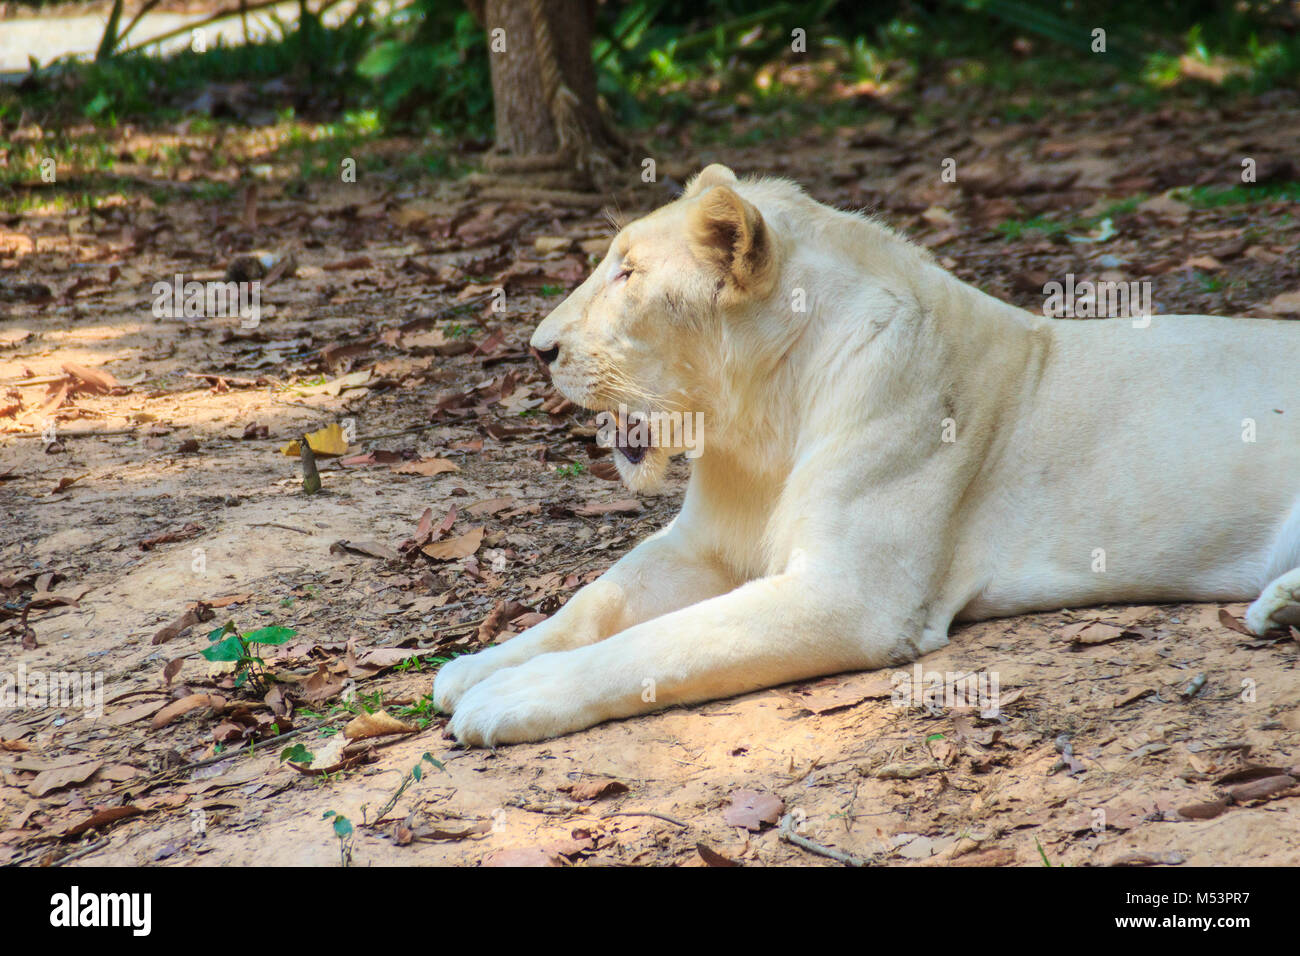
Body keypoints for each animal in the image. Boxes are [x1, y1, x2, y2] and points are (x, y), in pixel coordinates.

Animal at [433, 163, 1300, 746]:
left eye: (628, 273)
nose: (537, 348)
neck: (761, 421)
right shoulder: (702, 546)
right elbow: (596, 602)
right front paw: (476, 665)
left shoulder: (850, 597)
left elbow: (655, 644)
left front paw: (508, 697)